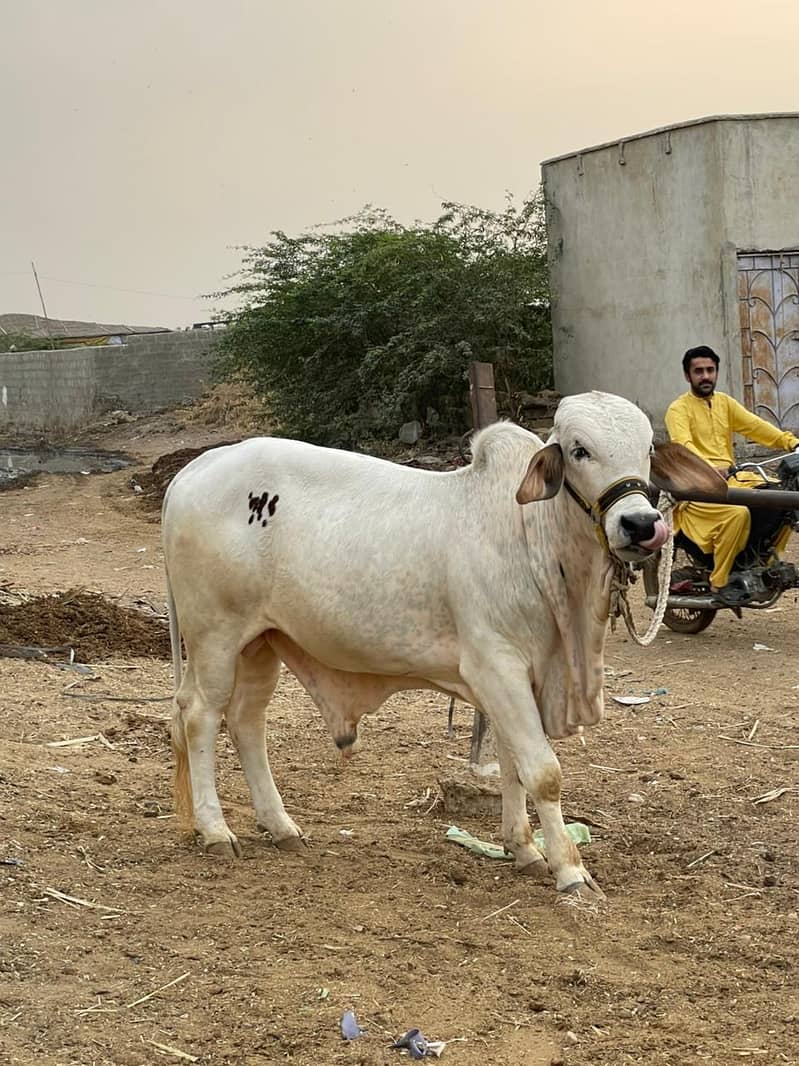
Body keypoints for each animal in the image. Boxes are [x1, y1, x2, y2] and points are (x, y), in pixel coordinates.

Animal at [162, 391, 711, 900]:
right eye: (579, 449)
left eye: (646, 449)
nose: (640, 525)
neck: (533, 540)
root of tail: (195, 469)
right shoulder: (497, 667)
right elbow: (542, 772)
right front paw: (570, 870)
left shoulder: (524, 677)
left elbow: (512, 764)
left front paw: (524, 849)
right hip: (215, 636)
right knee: (200, 717)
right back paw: (216, 830)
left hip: (261, 642)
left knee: (246, 722)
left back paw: (280, 826)